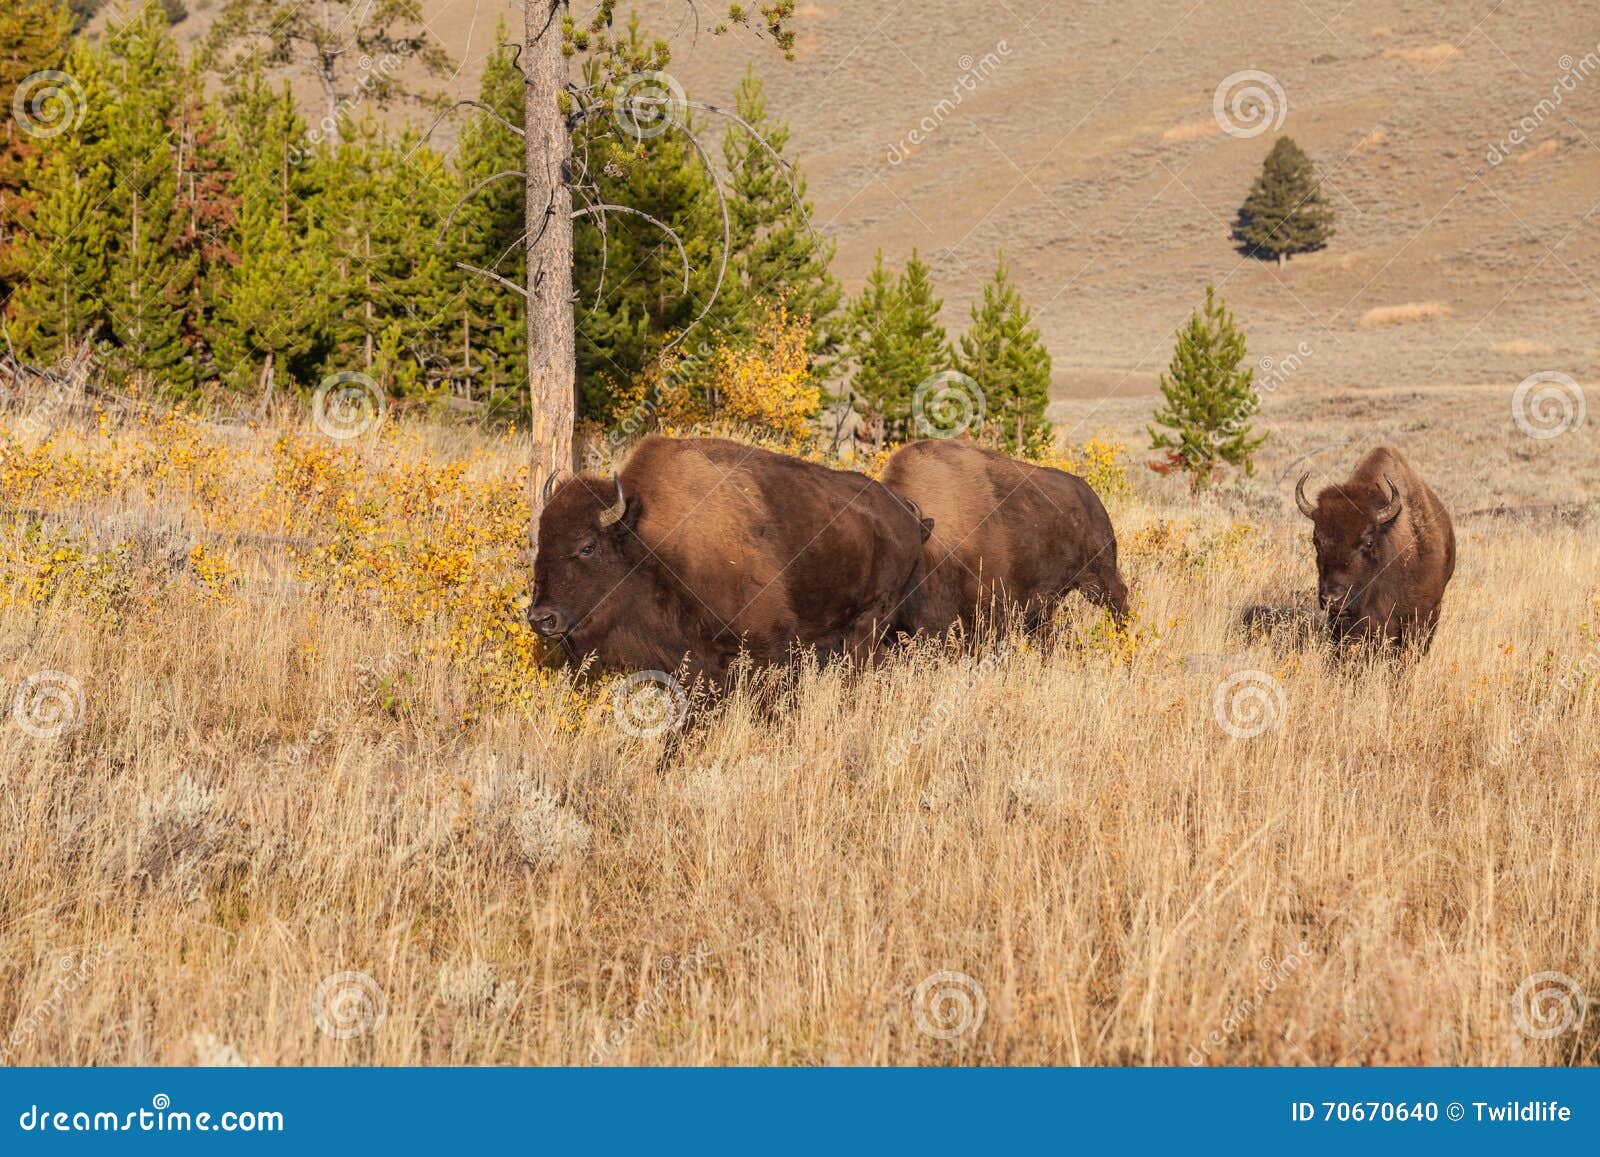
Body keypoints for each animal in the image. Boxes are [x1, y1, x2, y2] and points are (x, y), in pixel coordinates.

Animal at [527, 435, 929, 686]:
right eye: (540, 541)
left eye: (587, 546)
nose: (541, 619)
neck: (646, 539)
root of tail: (907, 514)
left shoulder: (766, 644)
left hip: (870, 621)